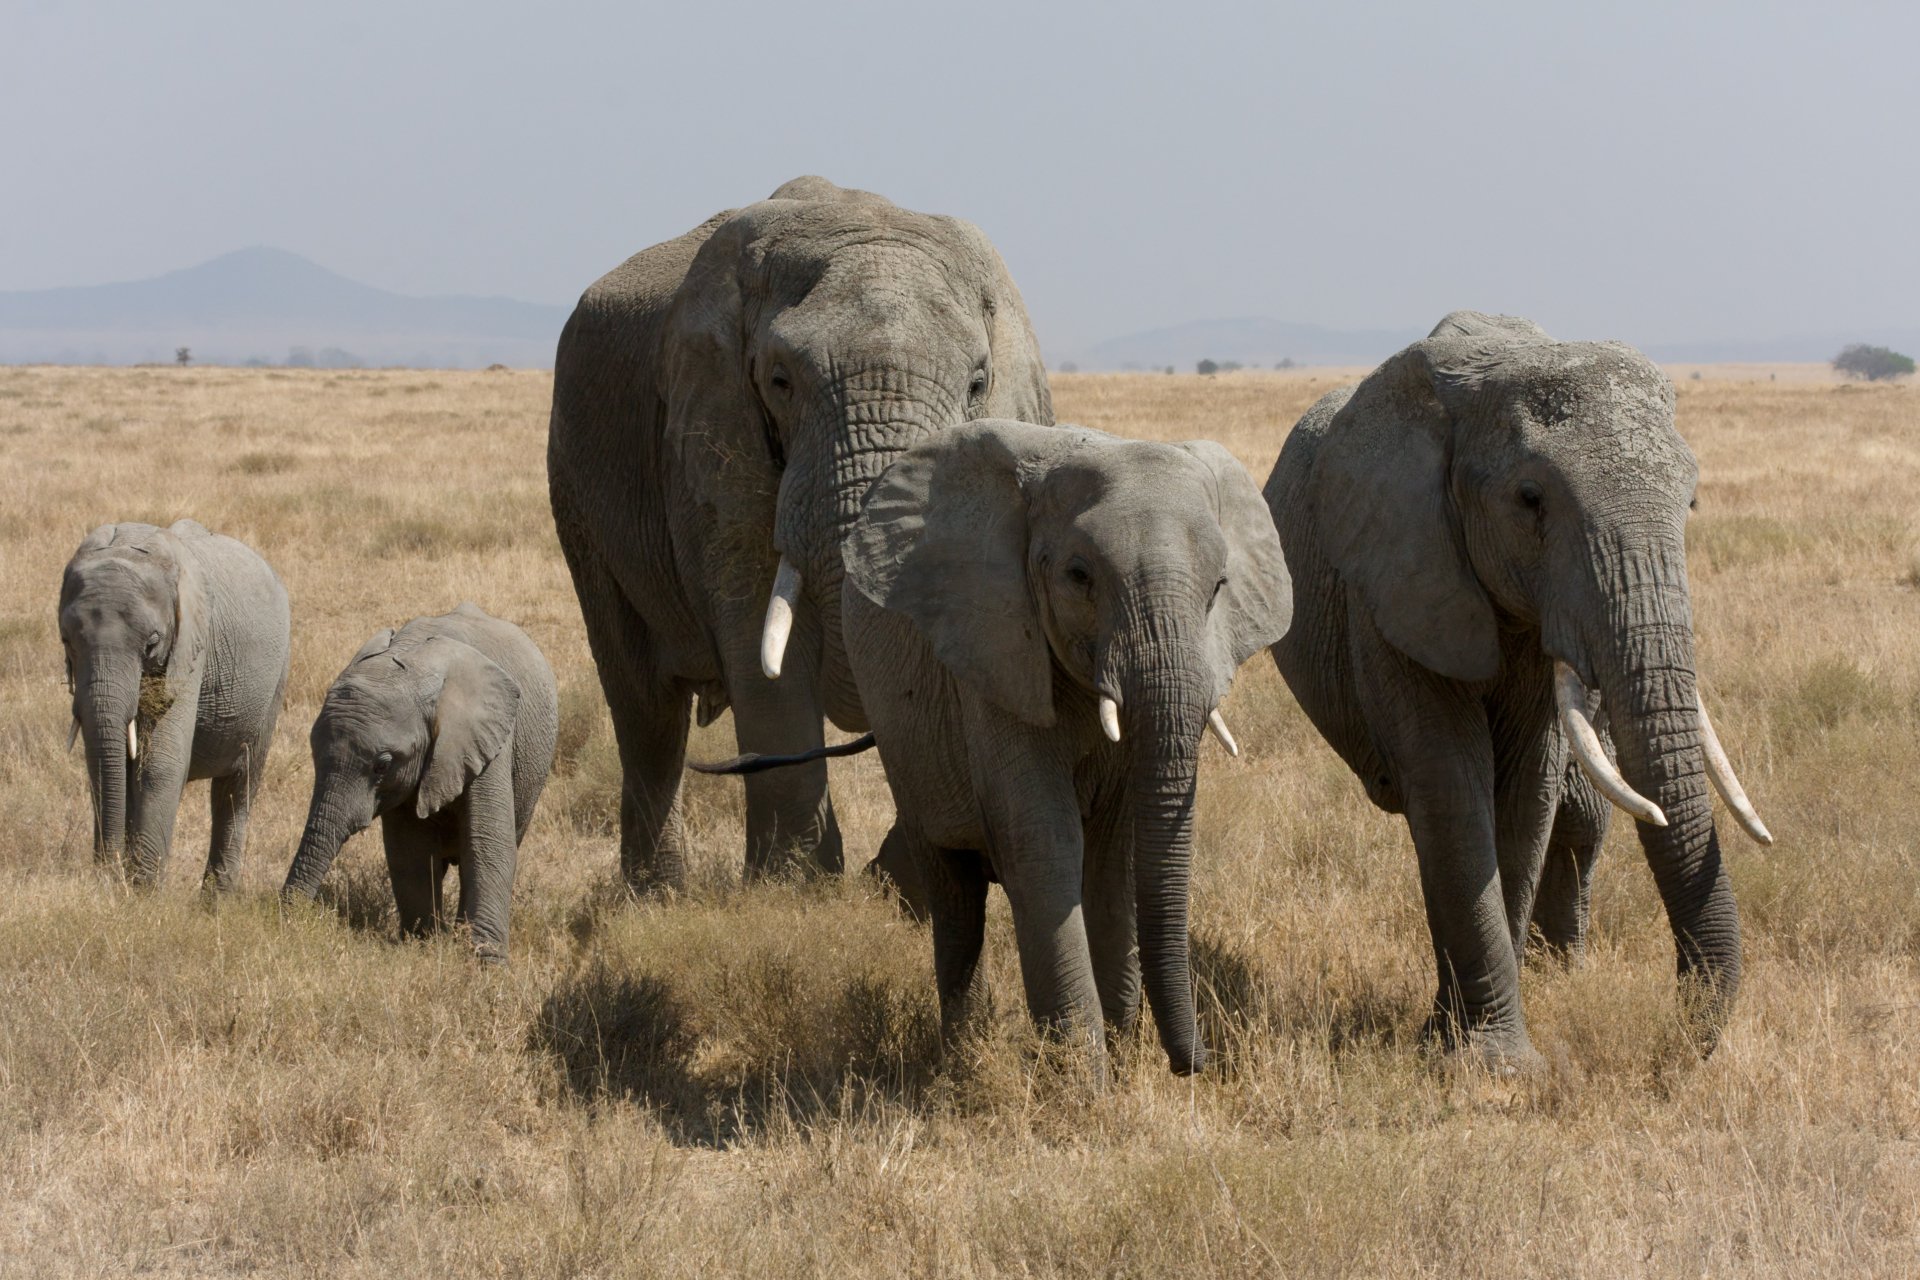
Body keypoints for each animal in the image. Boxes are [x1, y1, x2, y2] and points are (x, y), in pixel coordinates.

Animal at [58, 519, 290, 890]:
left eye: (152, 642)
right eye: (67, 640)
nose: (107, 871)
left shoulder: (193, 643)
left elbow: (161, 764)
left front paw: (143, 890)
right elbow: (109, 763)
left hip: (276, 679)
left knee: (236, 790)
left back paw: (217, 900)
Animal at [280, 603, 558, 962]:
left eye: (382, 765)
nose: (287, 917)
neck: (411, 660)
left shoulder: (488, 740)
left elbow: (489, 842)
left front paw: (486, 966)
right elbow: (409, 848)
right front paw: (425, 946)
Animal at [547, 176, 1051, 894]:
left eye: (978, 383)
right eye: (780, 381)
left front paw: (899, 883)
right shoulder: (712, 436)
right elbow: (759, 638)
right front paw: (796, 887)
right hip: (576, 487)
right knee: (645, 706)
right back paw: (657, 894)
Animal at [832, 419, 1292, 1078]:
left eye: (1219, 587)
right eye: (1079, 576)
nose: (1198, 1065)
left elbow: (1113, 855)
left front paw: (1120, 1057)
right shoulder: (995, 650)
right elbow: (1046, 843)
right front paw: (1083, 1078)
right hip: (901, 731)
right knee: (954, 893)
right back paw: (963, 1059)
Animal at [1265, 311, 1773, 1066]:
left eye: (1691, 500)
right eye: (1530, 501)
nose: (1677, 1044)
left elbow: (1526, 788)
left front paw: (1470, 1047)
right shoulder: (1395, 579)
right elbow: (1452, 784)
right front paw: (1485, 1061)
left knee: (1583, 809)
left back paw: (1558, 969)